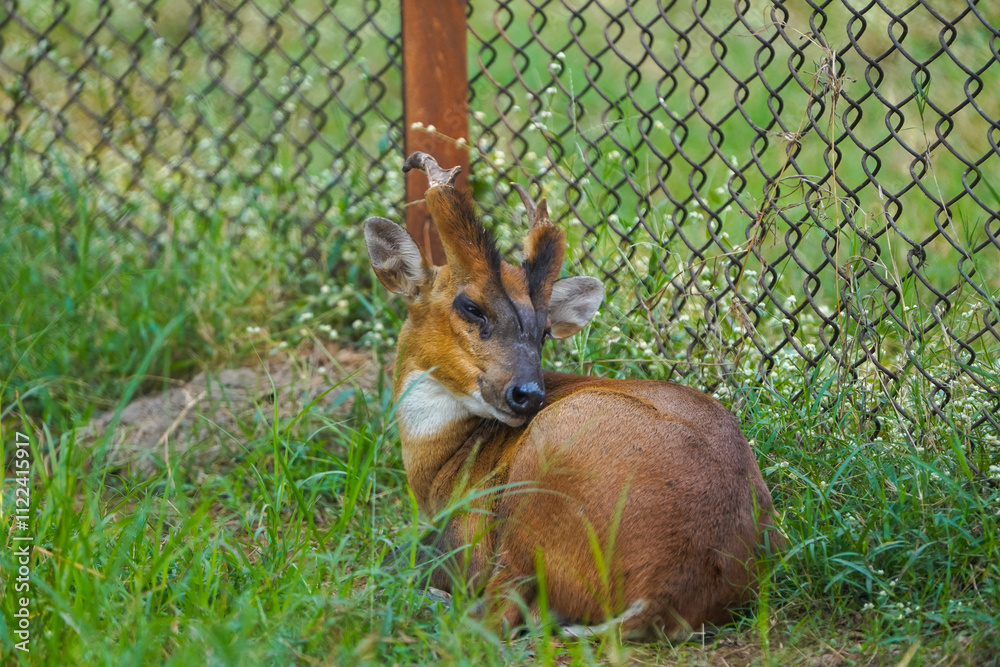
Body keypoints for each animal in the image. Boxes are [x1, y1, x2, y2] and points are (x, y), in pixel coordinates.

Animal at [363, 151, 782, 639]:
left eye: (545, 330)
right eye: (470, 307)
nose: (528, 394)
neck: (443, 467)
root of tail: (663, 595)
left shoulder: (466, 535)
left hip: (545, 468)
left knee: (496, 613)